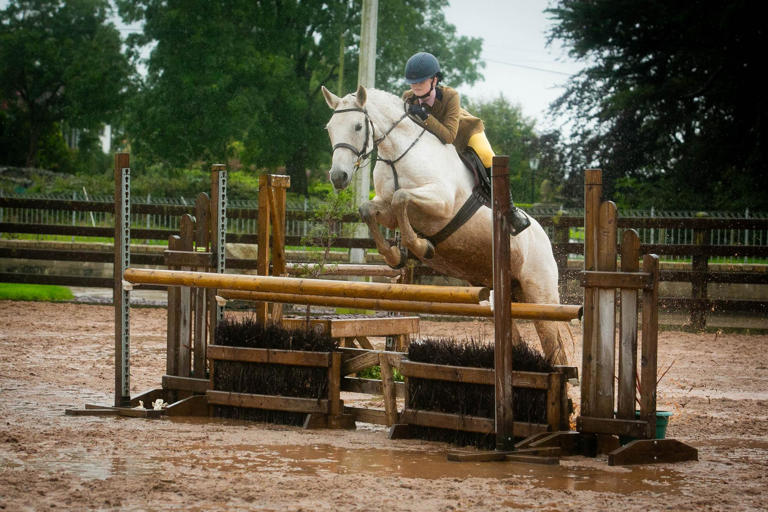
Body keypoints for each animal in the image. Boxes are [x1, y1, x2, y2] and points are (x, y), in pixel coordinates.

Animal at [321, 85, 569, 365]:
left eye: (357, 126)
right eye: (329, 128)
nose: (338, 177)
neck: (398, 155)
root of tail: (545, 240)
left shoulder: (442, 203)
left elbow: (401, 197)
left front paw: (421, 247)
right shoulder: (386, 210)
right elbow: (369, 209)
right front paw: (394, 255)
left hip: (540, 293)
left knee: (553, 345)